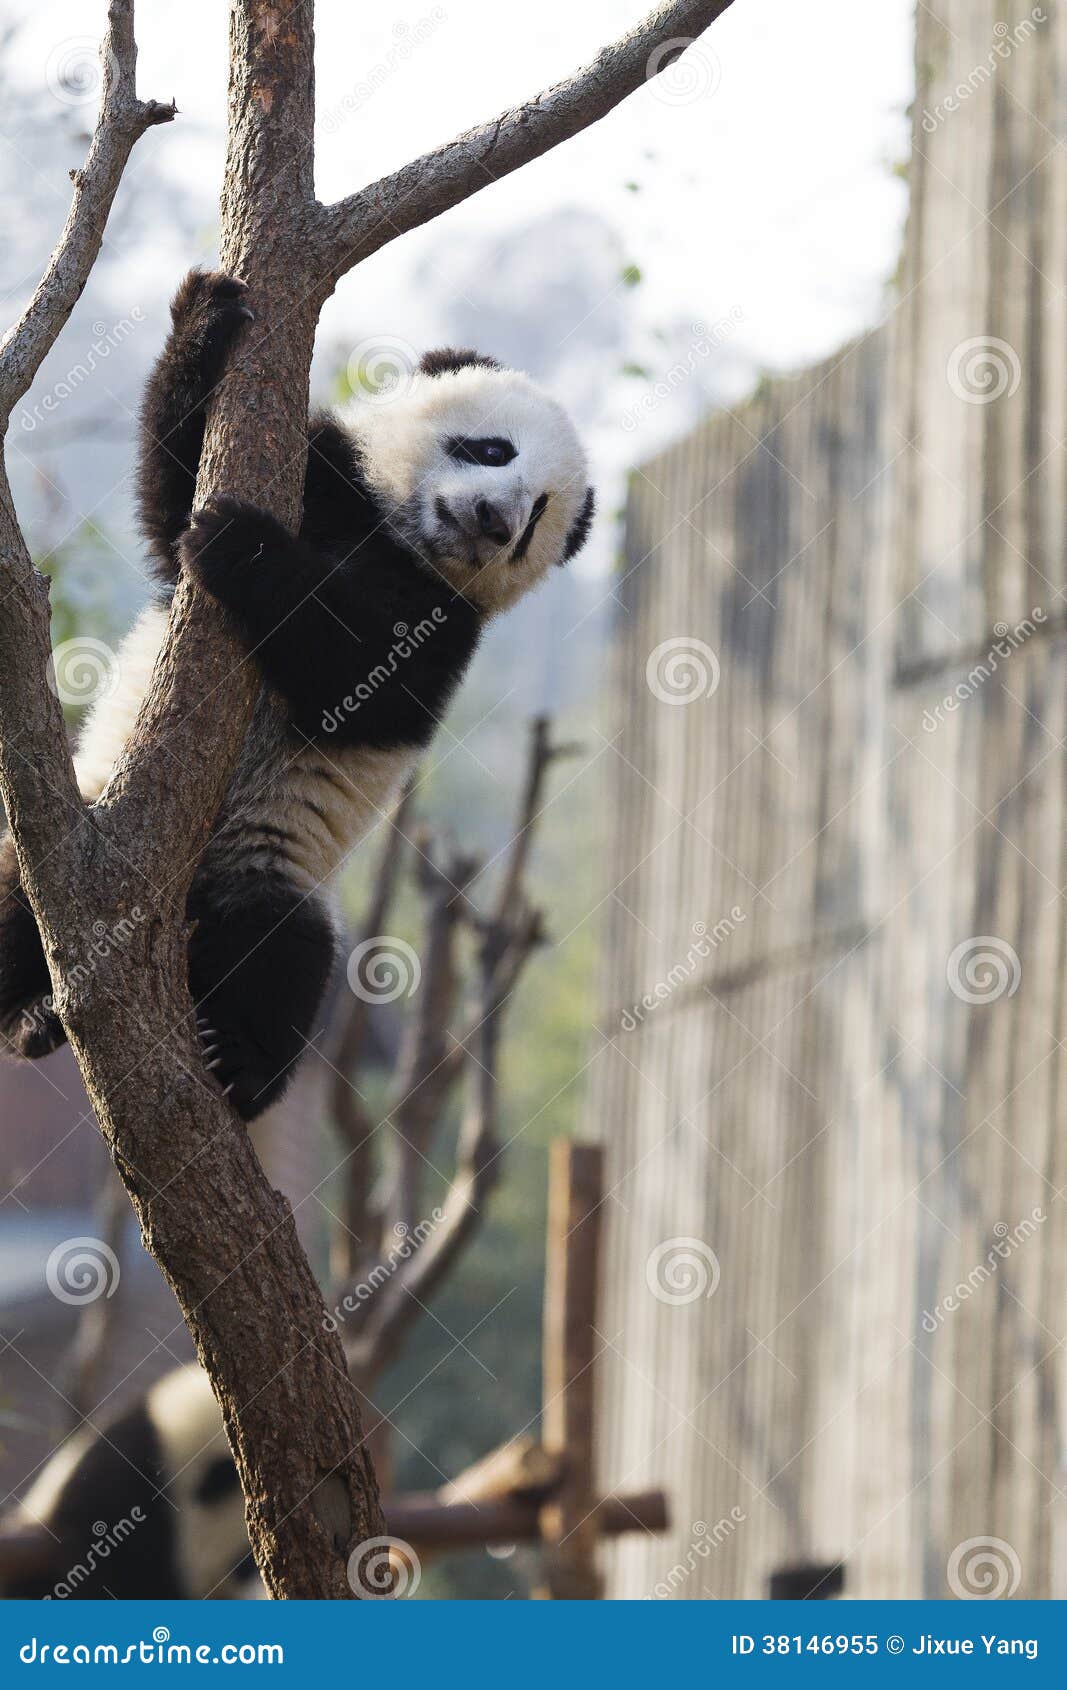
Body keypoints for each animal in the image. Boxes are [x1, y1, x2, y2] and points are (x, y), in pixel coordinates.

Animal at [0, 270, 594, 1118]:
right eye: (491, 449)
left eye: (537, 517)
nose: (493, 519)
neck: (391, 533)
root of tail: (180, 919)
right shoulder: (323, 473)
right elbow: (171, 497)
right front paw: (206, 314)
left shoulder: (444, 625)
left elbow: (360, 681)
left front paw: (242, 544)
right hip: (73, 834)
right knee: (18, 900)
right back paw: (32, 1016)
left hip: (267, 866)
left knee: (285, 949)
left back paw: (238, 1067)